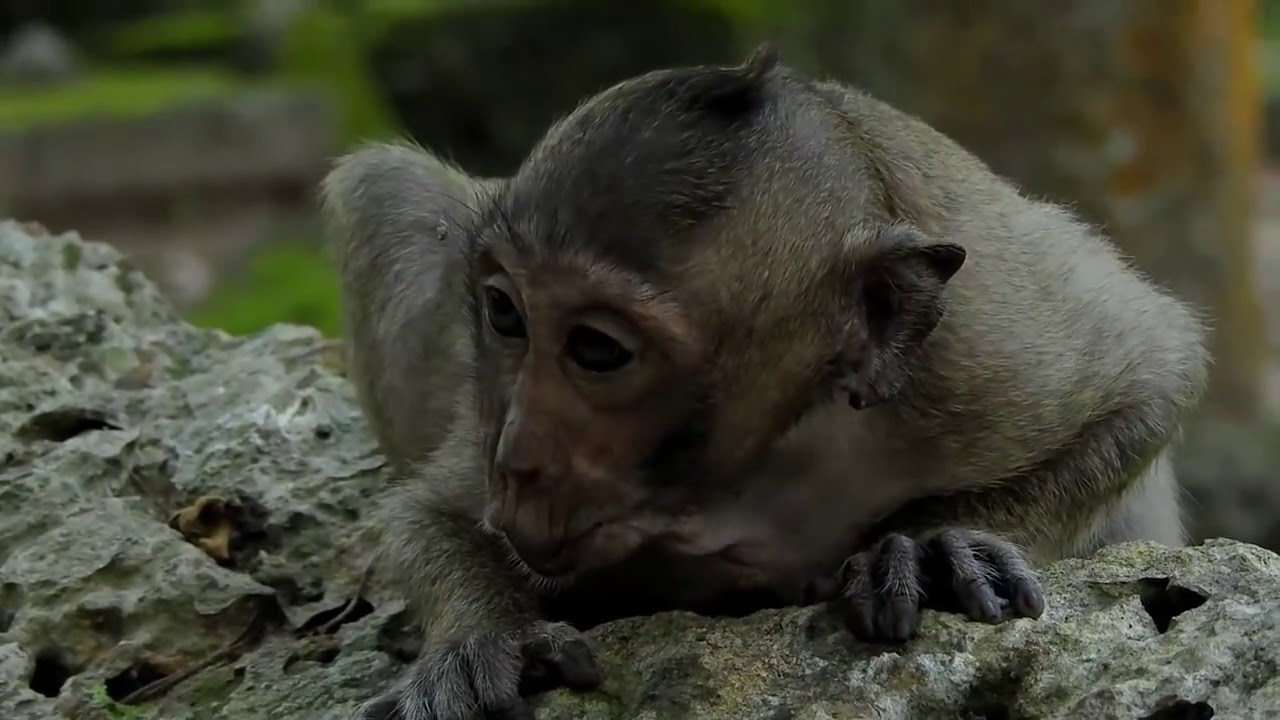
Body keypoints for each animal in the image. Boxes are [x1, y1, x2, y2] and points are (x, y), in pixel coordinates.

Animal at [320, 46, 1209, 720]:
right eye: (504, 314)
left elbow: (1155, 373)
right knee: (387, 189)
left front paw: (934, 543)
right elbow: (429, 516)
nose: (519, 459)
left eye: (597, 350)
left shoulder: (975, 359)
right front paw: (486, 636)